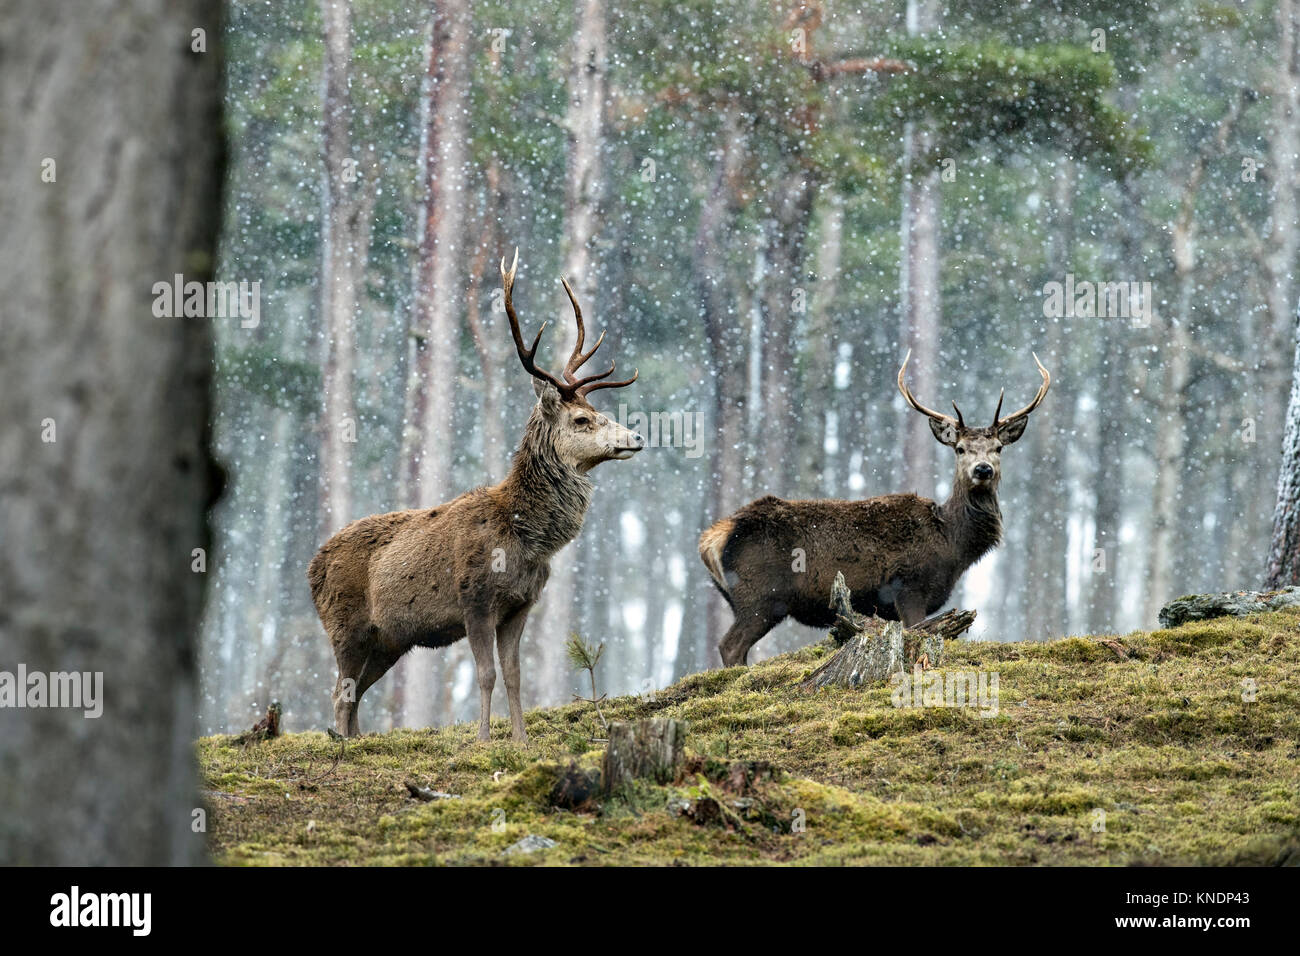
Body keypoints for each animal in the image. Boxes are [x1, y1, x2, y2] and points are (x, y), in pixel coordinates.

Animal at [308, 250, 644, 740]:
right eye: (582, 419)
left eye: (597, 410)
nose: (636, 436)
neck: (524, 537)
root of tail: (311, 567)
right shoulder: (475, 600)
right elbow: (486, 674)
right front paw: (484, 740)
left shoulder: (521, 605)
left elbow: (514, 674)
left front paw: (521, 740)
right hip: (345, 624)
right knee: (339, 691)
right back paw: (343, 746)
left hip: (389, 640)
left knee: (356, 693)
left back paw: (355, 740)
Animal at [699, 352, 1050, 667]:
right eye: (960, 449)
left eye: (998, 448)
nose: (982, 469)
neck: (952, 543)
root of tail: (713, 537)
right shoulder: (909, 587)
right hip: (761, 595)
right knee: (730, 645)